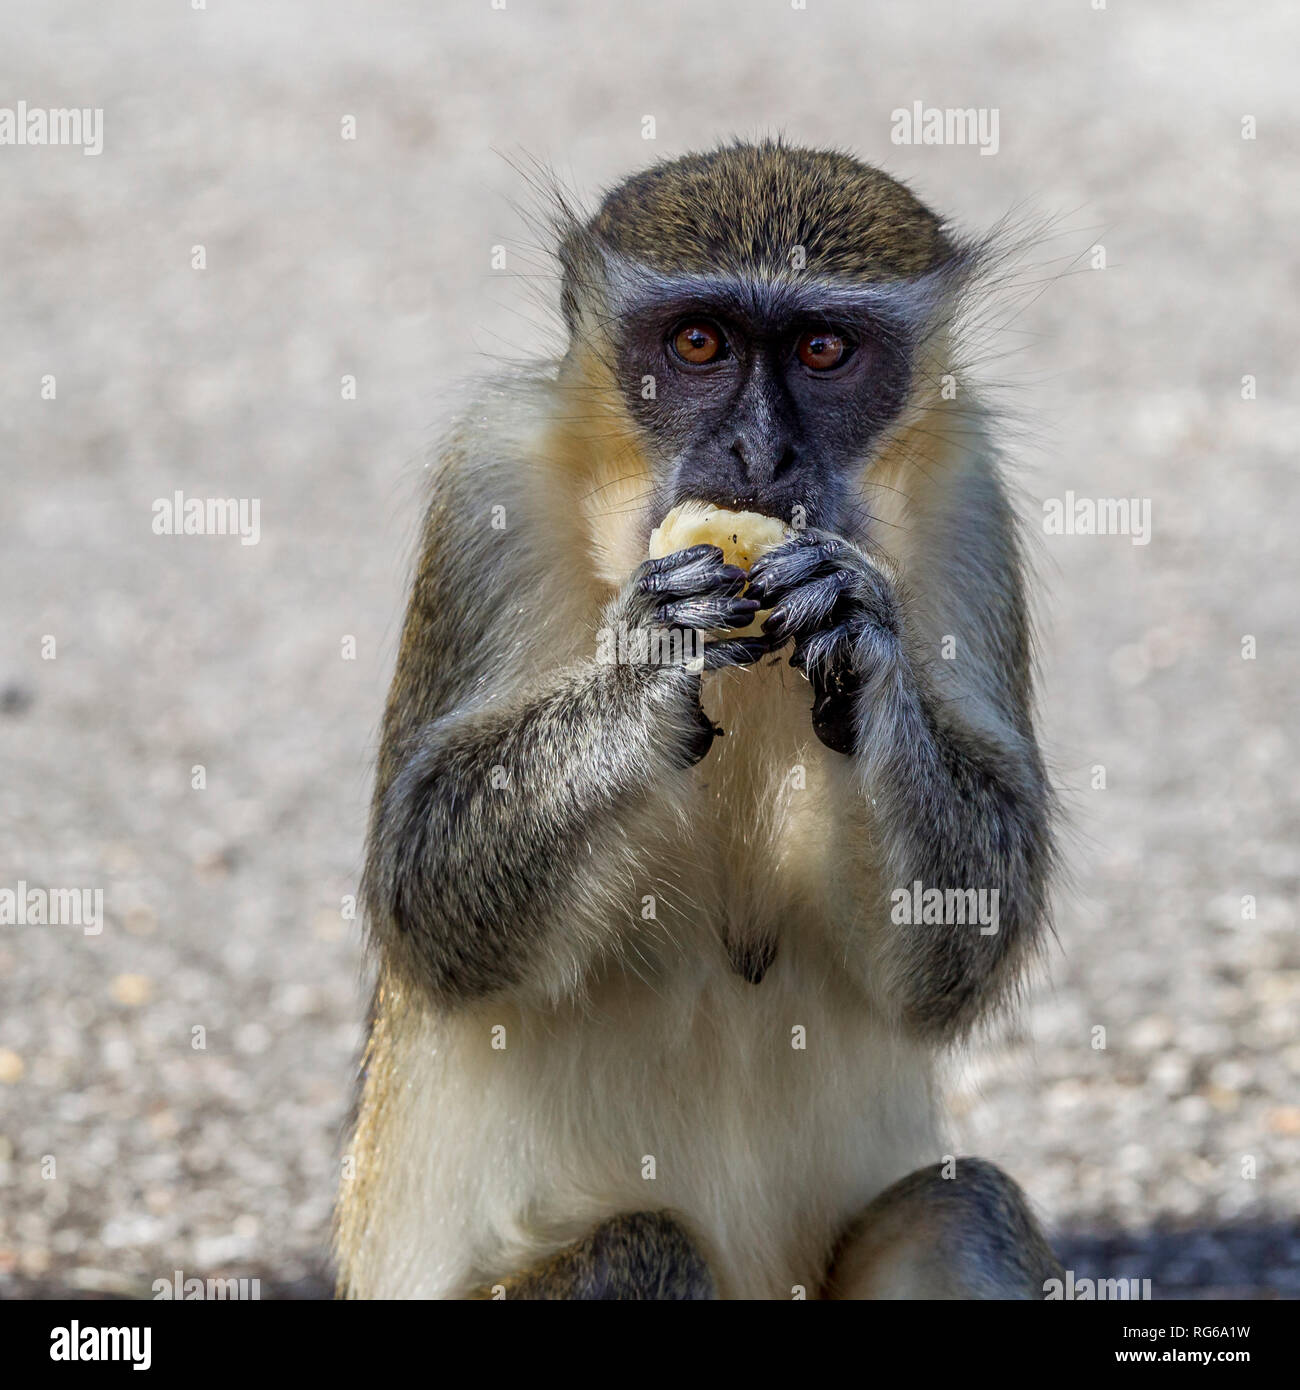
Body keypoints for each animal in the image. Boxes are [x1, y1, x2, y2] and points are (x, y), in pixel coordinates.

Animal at [333, 139, 1064, 1300]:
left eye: (823, 349)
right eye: (697, 342)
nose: (760, 455)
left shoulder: (970, 501)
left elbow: (966, 944)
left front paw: (860, 641)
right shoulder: (488, 485)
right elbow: (424, 896)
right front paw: (647, 670)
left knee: (961, 1209)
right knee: (648, 1247)